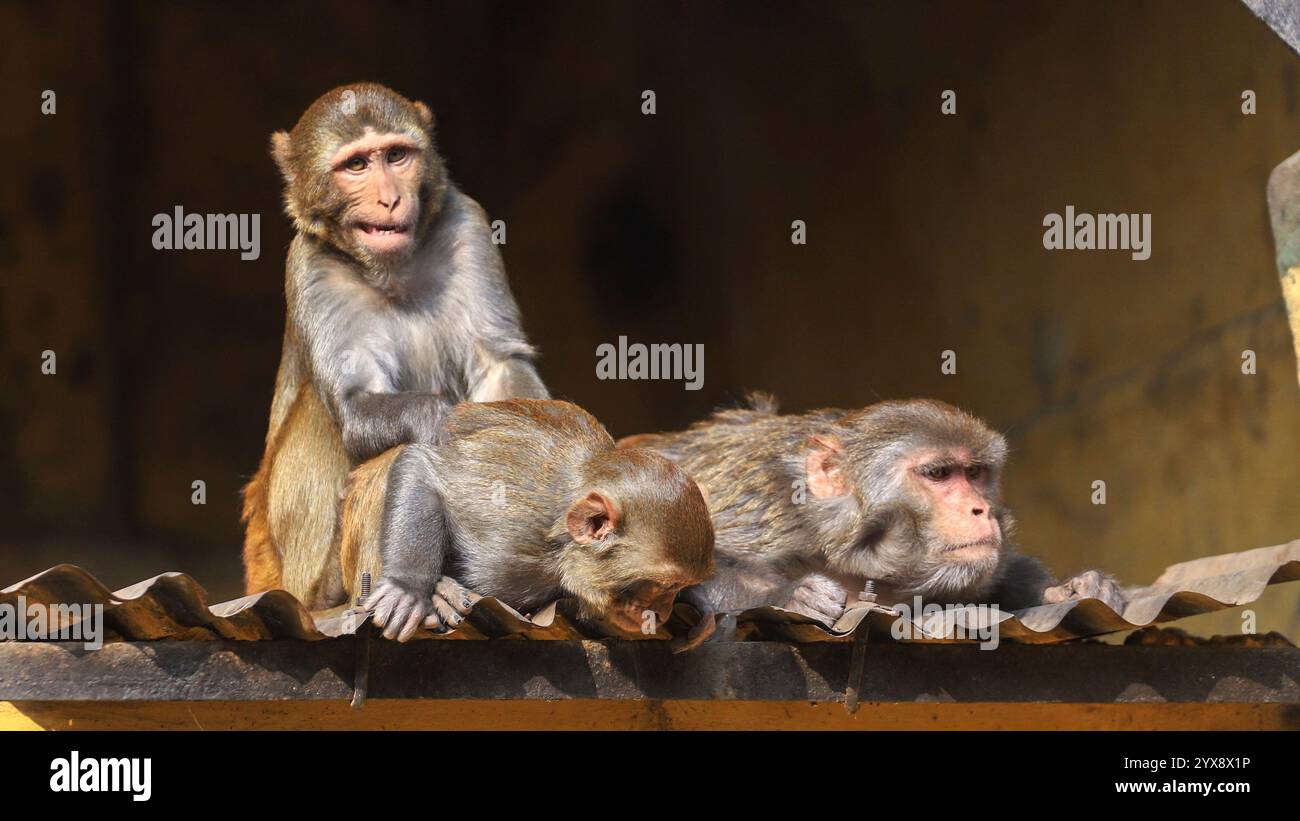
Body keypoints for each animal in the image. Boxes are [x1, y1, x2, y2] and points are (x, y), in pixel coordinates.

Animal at [242, 83, 548, 609]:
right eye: (356, 165)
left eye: (396, 156)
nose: (389, 199)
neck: (392, 271)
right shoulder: (309, 266)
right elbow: (355, 403)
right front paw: (445, 425)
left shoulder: (467, 225)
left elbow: (498, 365)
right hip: (299, 577)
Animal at [335, 399, 716, 642]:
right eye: (663, 585)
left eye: (678, 587)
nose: (662, 612)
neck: (562, 547)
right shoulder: (510, 539)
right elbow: (423, 467)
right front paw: (408, 586)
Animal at [618, 394, 1126, 628]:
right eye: (939, 474)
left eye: (975, 473)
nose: (980, 509)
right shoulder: (763, 511)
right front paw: (790, 596)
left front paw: (1070, 589)